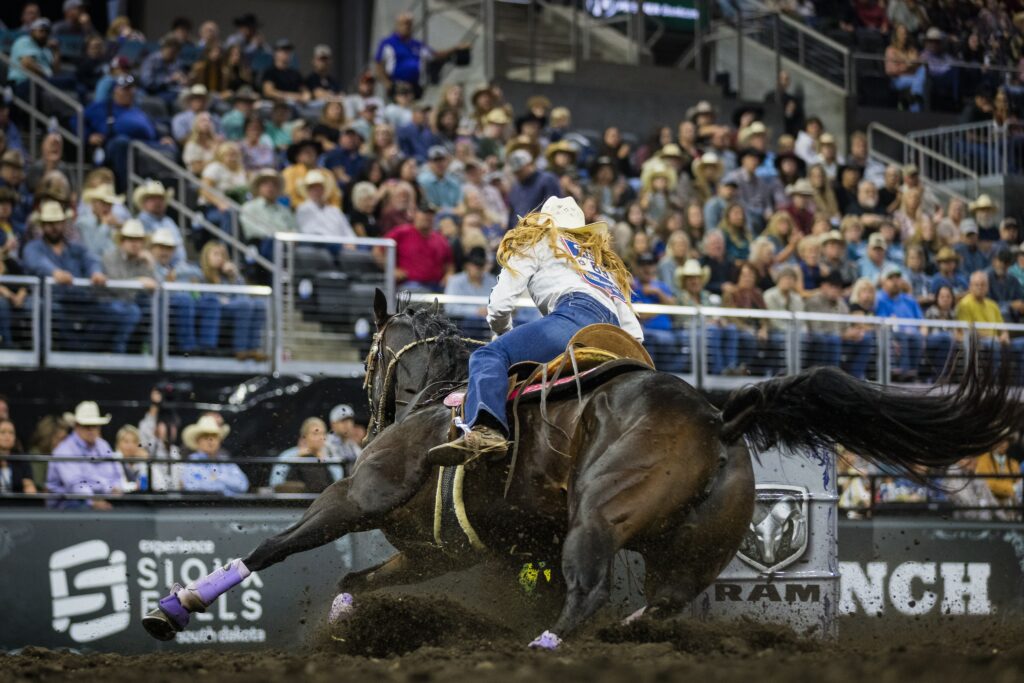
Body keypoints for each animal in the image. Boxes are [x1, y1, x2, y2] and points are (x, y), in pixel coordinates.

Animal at [144, 290, 1023, 648]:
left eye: (372, 350)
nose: (367, 404)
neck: (439, 398)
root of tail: (716, 418)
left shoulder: (361, 493)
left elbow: (278, 545)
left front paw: (175, 607)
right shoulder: (432, 551)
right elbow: (357, 581)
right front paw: (352, 629)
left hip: (597, 513)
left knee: (592, 589)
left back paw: (539, 648)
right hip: (689, 545)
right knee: (657, 606)